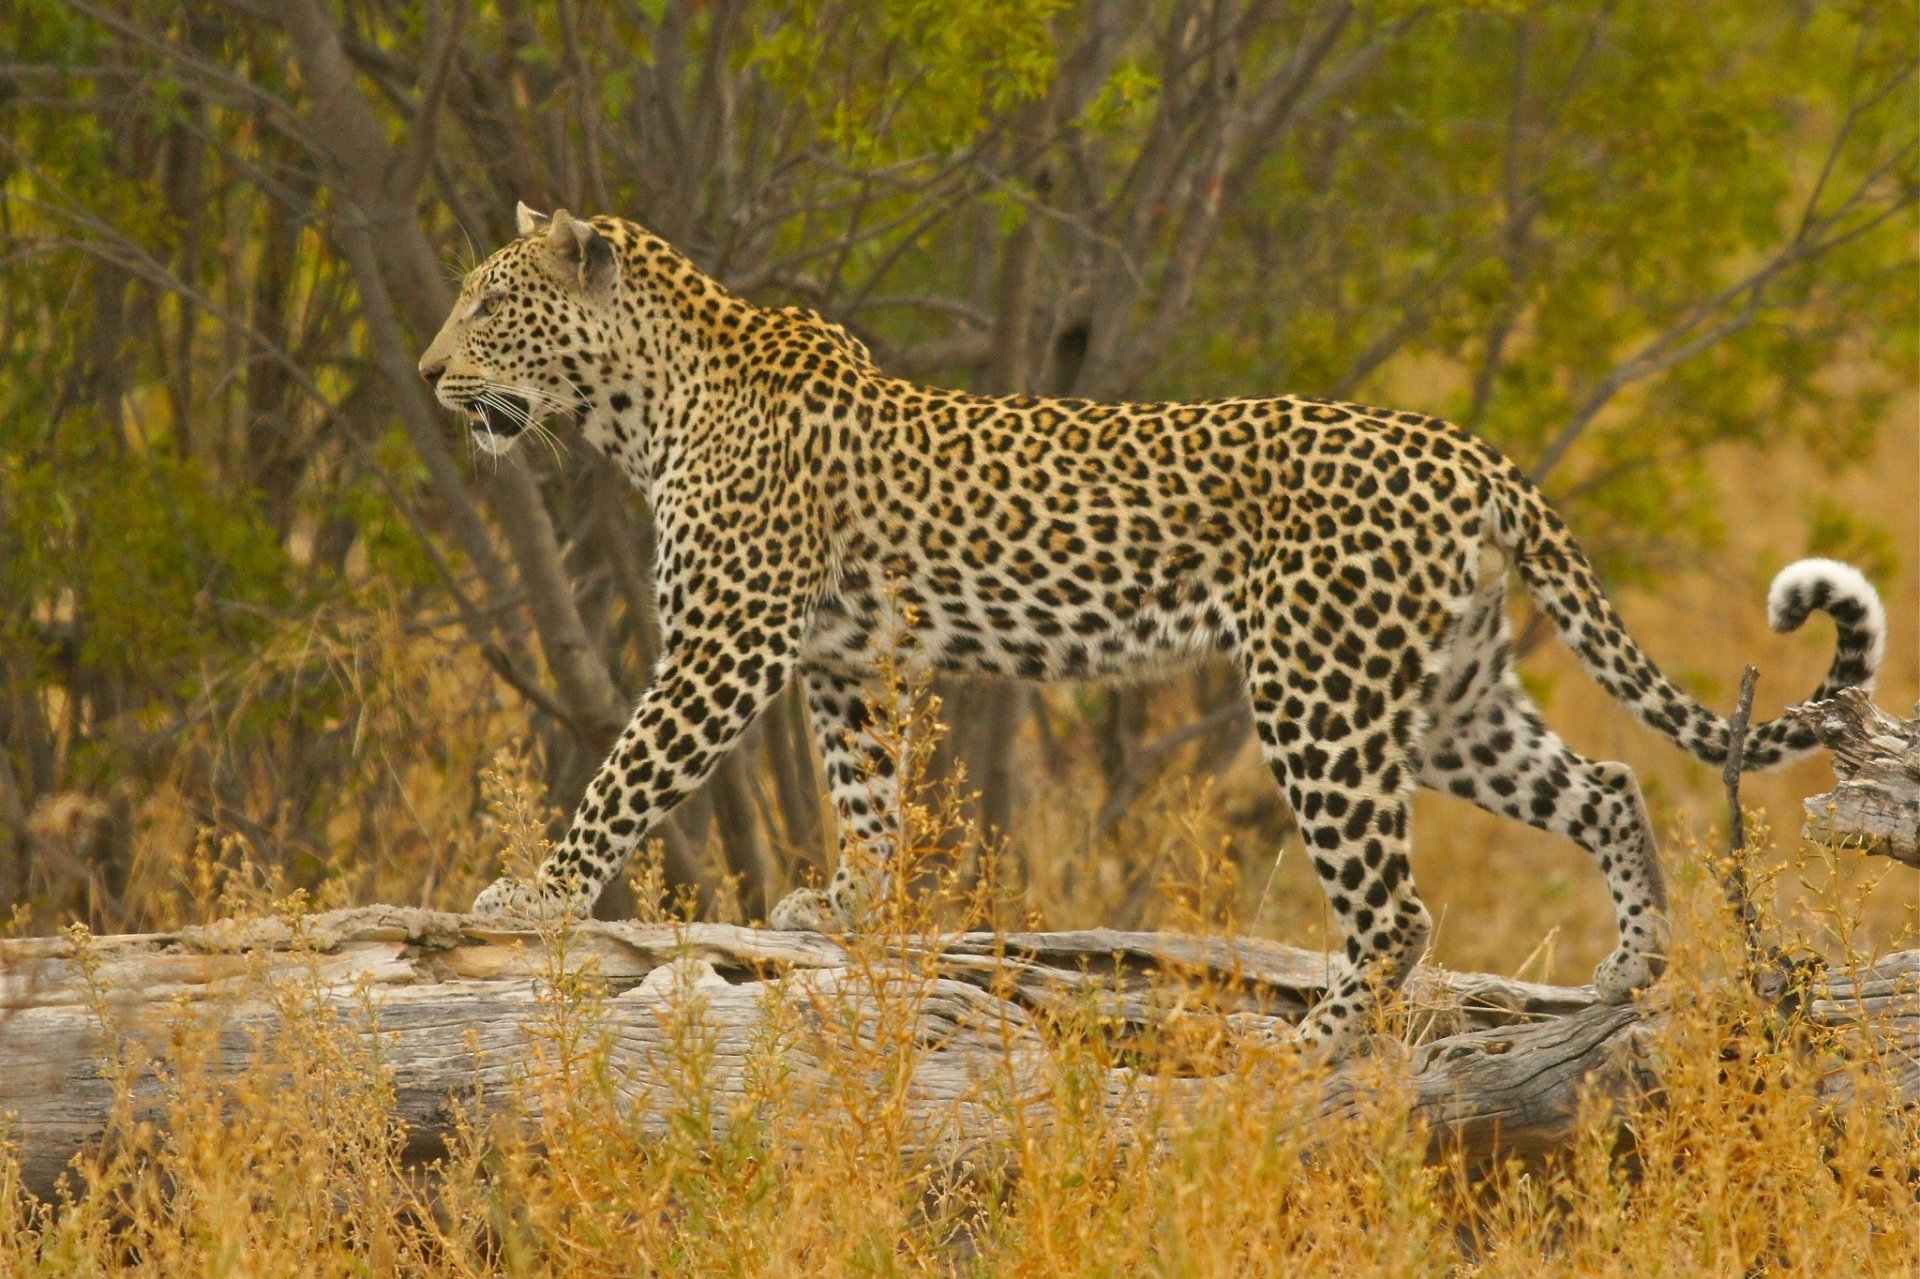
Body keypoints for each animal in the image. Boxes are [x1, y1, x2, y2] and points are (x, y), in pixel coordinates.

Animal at [417, 203, 1886, 1050]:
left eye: (489, 302)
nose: (428, 373)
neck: (641, 405)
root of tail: (1470, 448)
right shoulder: (845, 664)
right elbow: (867, 796)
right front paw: (855, 909)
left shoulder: (727, 644)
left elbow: (622, 776)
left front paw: (532, 897)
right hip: (1450, 698)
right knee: (1609, 781)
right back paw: (1628, 969)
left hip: (1319, 691)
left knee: (1396, 906)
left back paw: (1312, 1045)